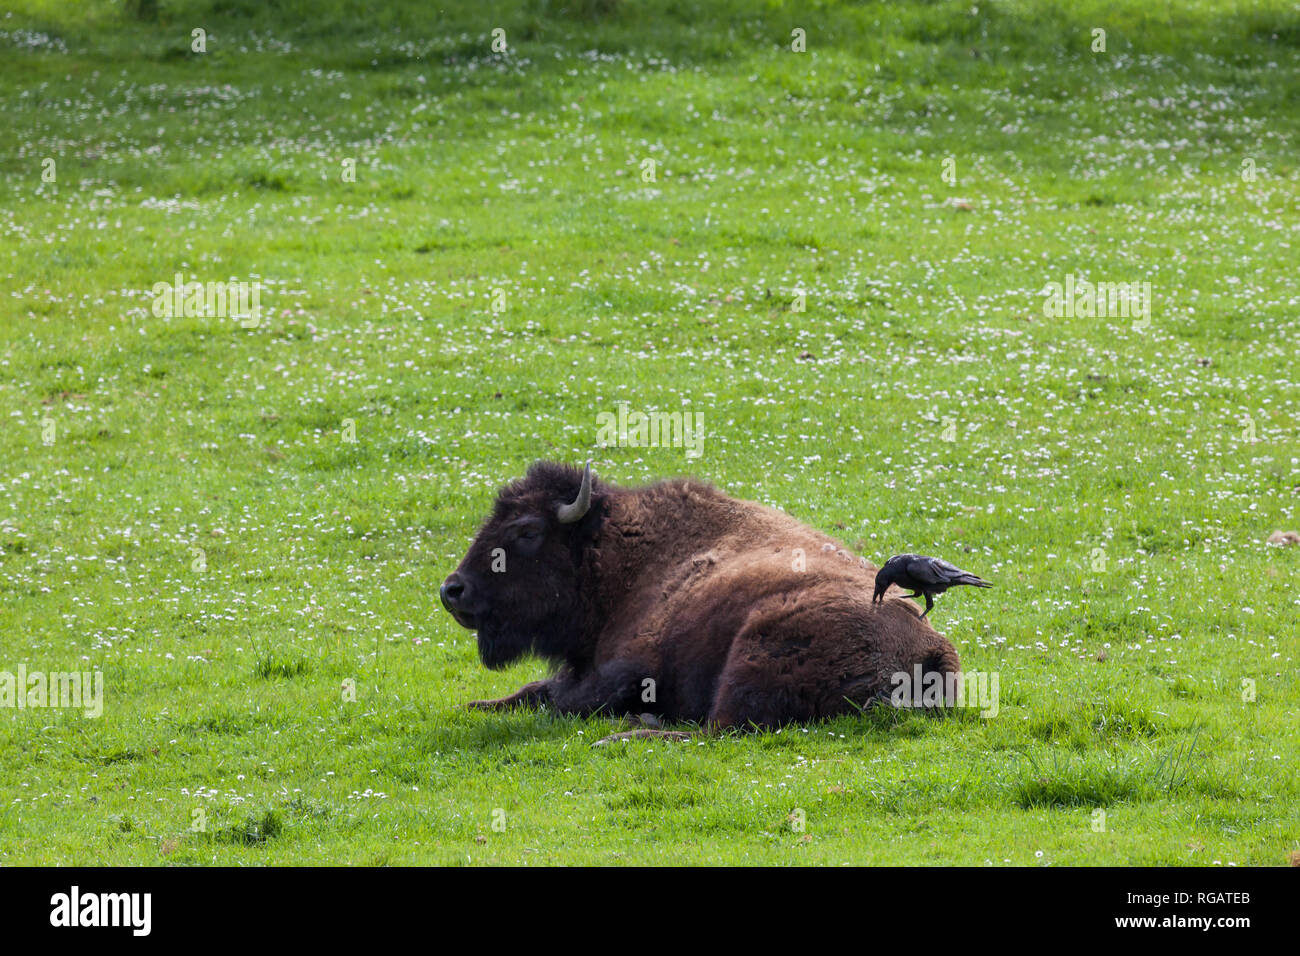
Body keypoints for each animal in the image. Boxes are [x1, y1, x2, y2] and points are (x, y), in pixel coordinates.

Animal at [440, 461, 961, 740]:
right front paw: (471, 705)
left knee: (716, 729)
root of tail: (933, 649)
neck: (622, 557)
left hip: (748, 659)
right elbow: (532, 691)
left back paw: (626, 732)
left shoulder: (626, 668)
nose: (452, 590)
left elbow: (559, 700)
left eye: (527, 530)